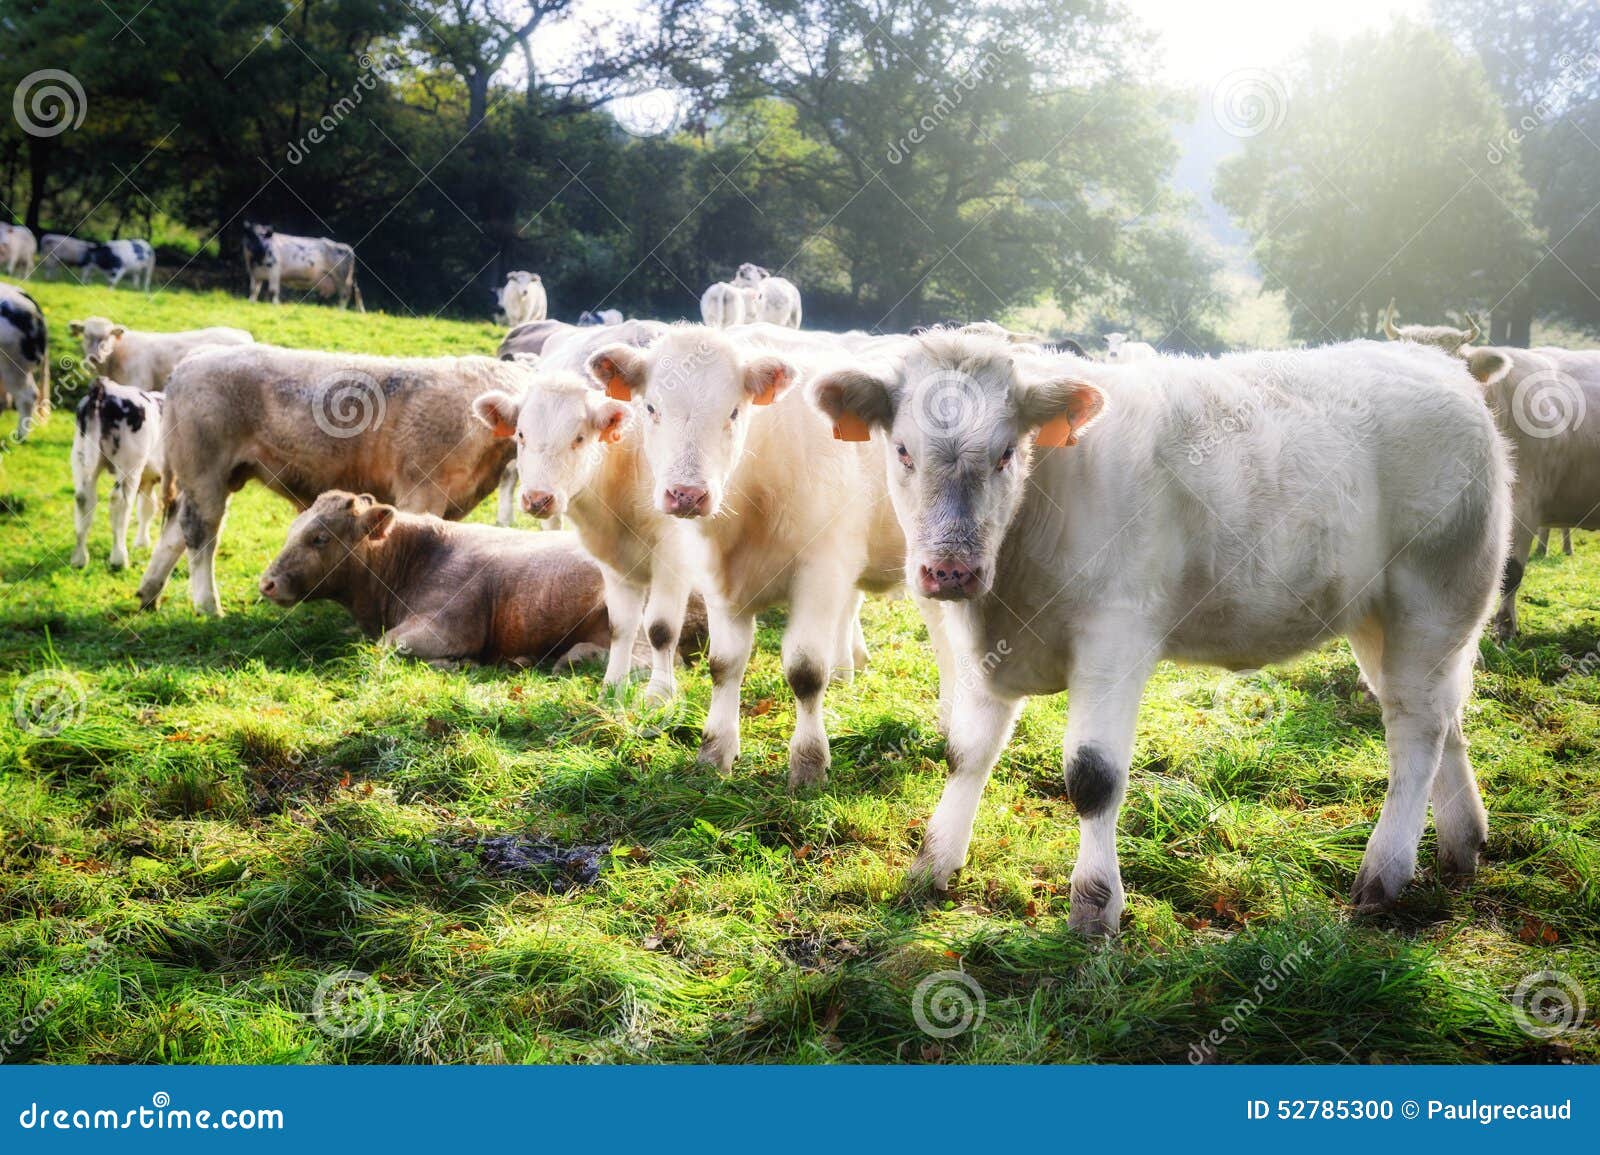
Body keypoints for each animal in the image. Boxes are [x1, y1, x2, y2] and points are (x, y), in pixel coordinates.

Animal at [71, 379, 163, 570]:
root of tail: (106, 388)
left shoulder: (148, 478)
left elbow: (147, 508)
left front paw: (142, 543)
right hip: (129, 464)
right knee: (120, 501)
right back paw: (119, 558)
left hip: (80, 455)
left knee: (84, 498)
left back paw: (79, 559)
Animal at [136, 344, 527, 615]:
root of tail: (193, 360)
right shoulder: (422, 489)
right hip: (206, 474)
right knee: (200, 534)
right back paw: (207, 605)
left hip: (209, 477)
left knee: (175, 531)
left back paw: (149, 593)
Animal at [259, 491, 706, 669]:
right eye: (293, 528)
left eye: (319, 538)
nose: (267, 583)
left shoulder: (444, 627)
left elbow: (388, 647)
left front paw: (460, 665)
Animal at [586, 326, 946, 787]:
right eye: (651, 407)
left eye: (734, 411)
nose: (686, 494)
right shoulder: (719, 579)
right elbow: (724, 664)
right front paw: (714, 752)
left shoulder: (821, 570)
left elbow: (806, 671)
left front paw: (808, 763)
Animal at [807, 333, 1510, 933]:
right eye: (903, 450)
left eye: (1006, 453)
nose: (951, 569)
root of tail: (1441, 367)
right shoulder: (989, 652)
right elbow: (965, 753)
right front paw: (932, 865)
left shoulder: (1115, 638)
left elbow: (1092, 777)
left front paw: (1094, 907)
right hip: (1380, 618)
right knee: (1441, 714)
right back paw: (1461, 844)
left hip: (1434, 598)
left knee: (1416, 729)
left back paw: (1384, 874)